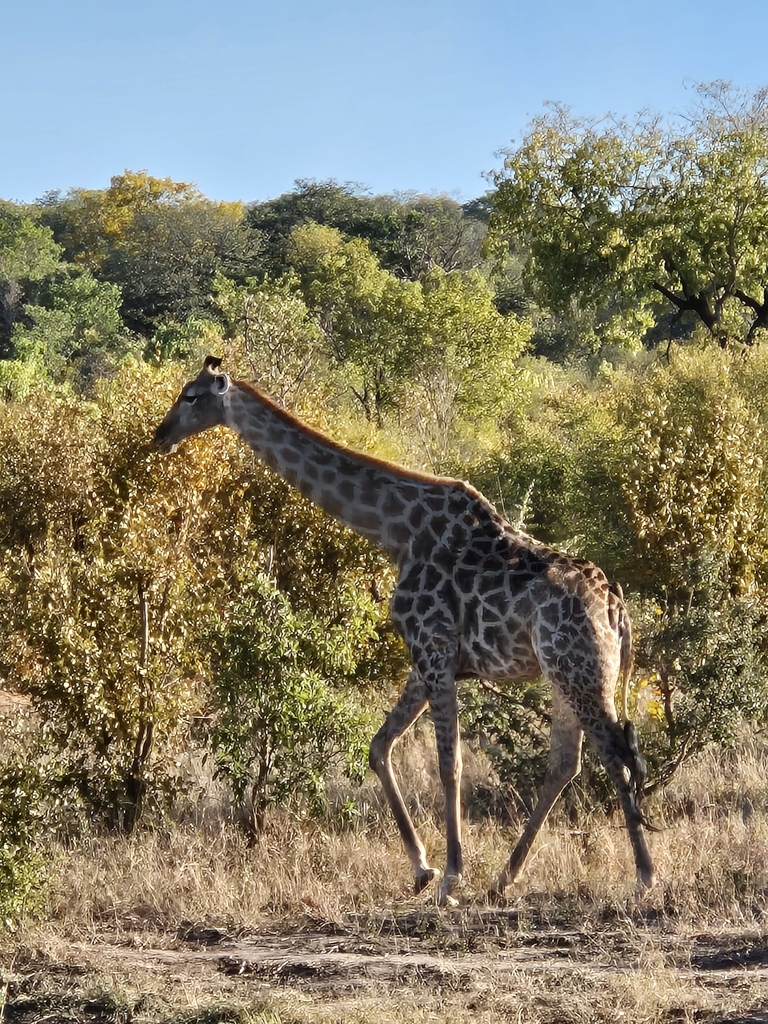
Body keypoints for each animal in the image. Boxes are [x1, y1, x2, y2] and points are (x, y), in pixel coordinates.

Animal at [154, 357, 655, 905]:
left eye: (191, 396)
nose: (160, 434)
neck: (395, 532)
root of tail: (617, 609)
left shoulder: (433, 649)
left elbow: (448, 764)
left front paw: (451, 876)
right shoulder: (429, 659)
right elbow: (379, 747)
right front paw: (422, 868)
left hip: (581, 671)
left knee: (615, 754)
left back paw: (644, 876)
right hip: (563, 676)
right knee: (567, 763)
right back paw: (504, 879)